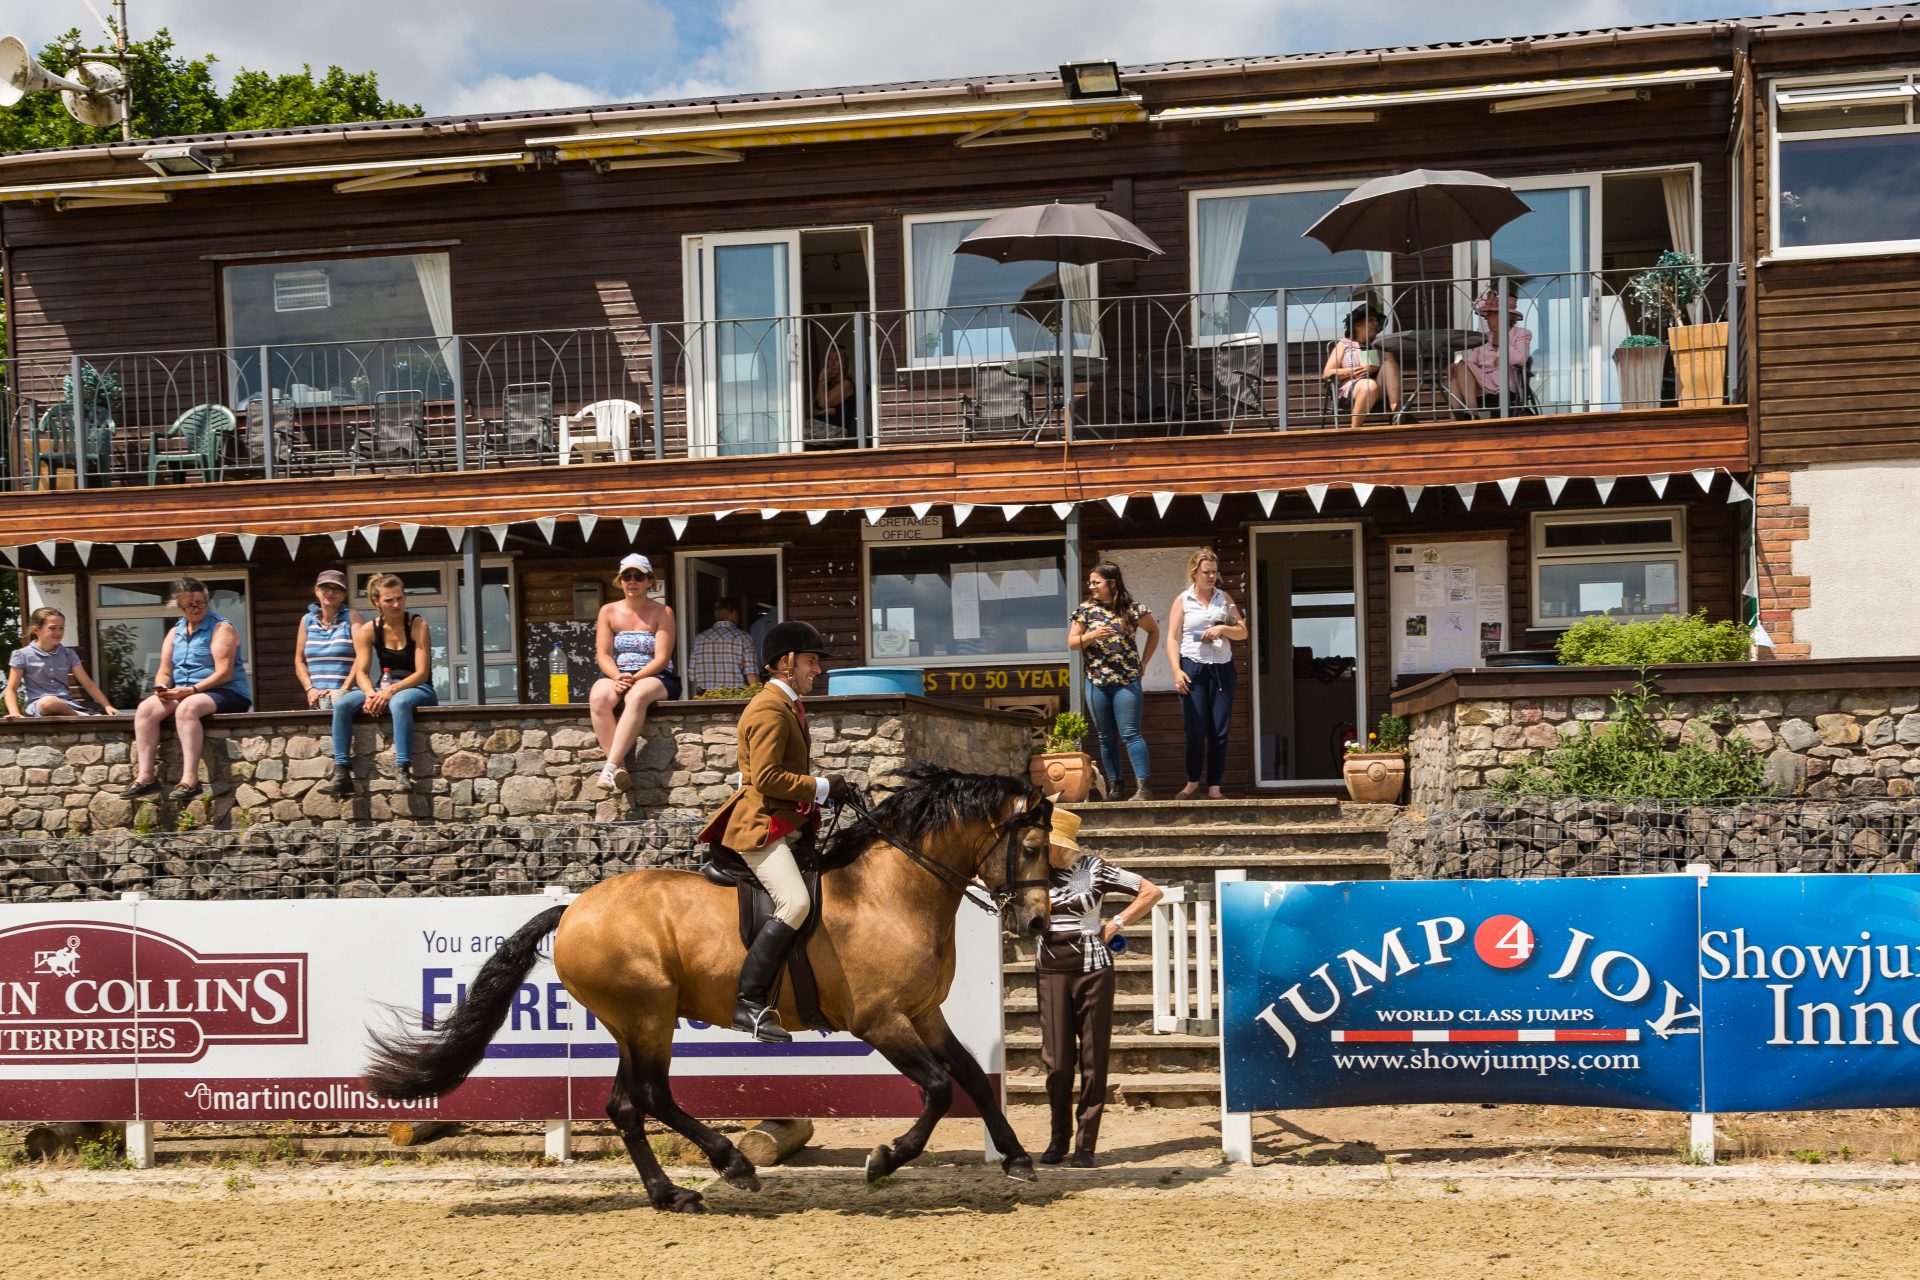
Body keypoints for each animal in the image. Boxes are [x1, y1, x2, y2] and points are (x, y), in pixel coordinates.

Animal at [363, 766, 1055, 1213]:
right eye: (1030, 844)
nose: (1037, 924)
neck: (893, 890)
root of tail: (574, 908)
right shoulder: (881, 1020)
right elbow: (938, 1088)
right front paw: (885, 1159)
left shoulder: (925, 1012)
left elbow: (972, 1078)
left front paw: (1018, 1158)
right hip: (649, 1016)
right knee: (650, 1095)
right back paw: (733, 1164)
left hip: (634, 1021)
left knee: (625, 1103)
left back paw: (671, 1193)